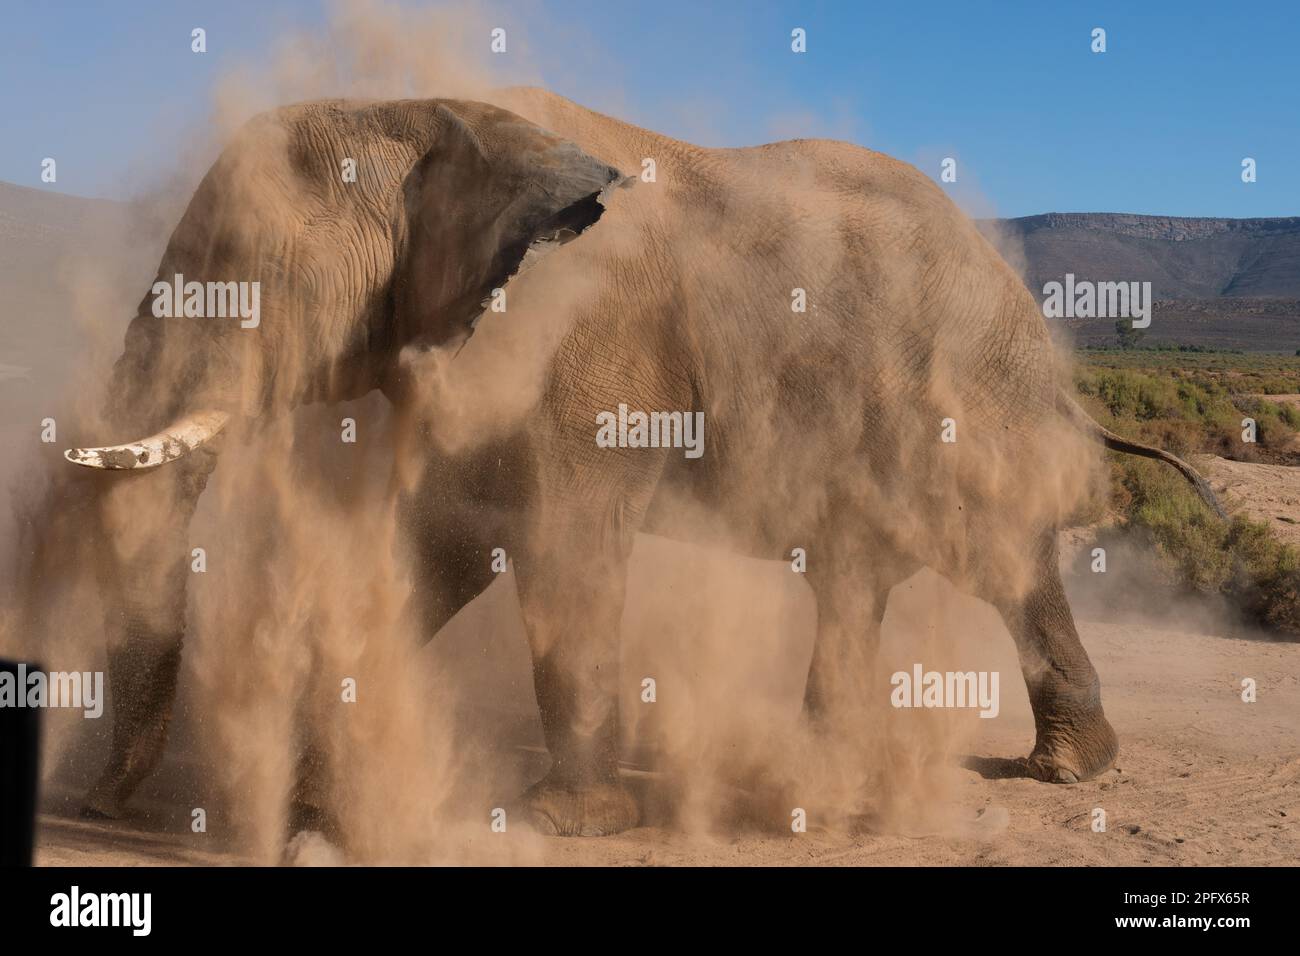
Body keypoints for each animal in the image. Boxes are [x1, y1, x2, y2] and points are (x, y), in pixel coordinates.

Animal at [20, 88, 1222, 840]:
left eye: (245, 276)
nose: (99, 812)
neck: (432, 112)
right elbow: (442, 549)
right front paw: (323, 808)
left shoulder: (588, 356)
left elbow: (566, 548)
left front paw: (568, 822)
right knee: (855, 578)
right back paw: (831, 774)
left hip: (964, 412)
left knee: (994, 562)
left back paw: (1051, 771)